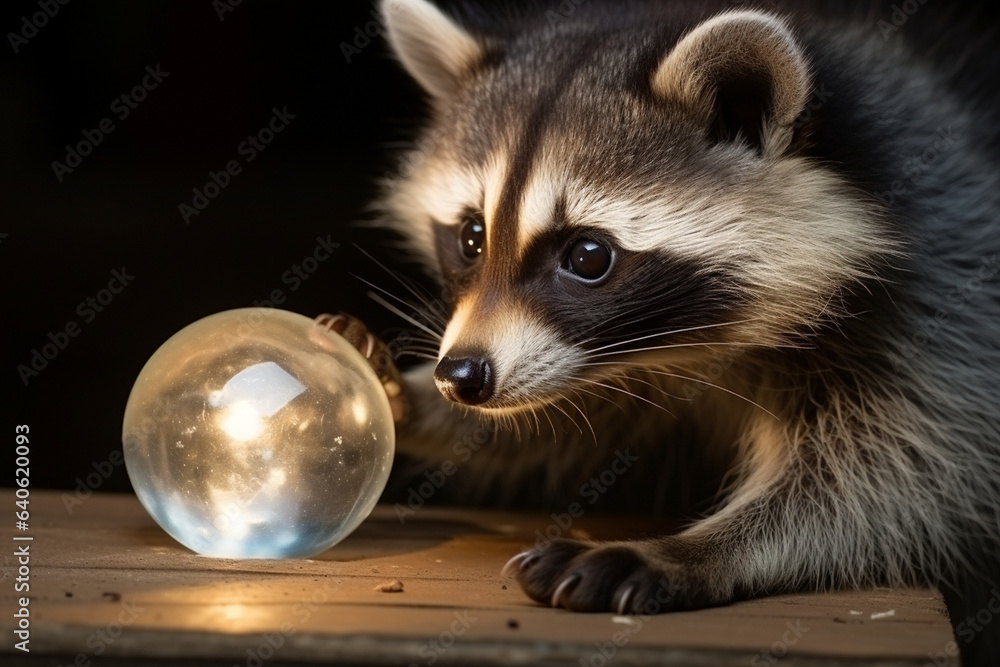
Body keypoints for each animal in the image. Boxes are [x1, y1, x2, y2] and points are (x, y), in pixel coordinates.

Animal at [322, 0, 1000, 661]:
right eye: (471, 237)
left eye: (588, 256)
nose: (459, 376)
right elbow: (563, 416)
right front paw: (403, 396)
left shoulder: (943, 288)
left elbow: (906, 481)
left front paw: (696, 550)